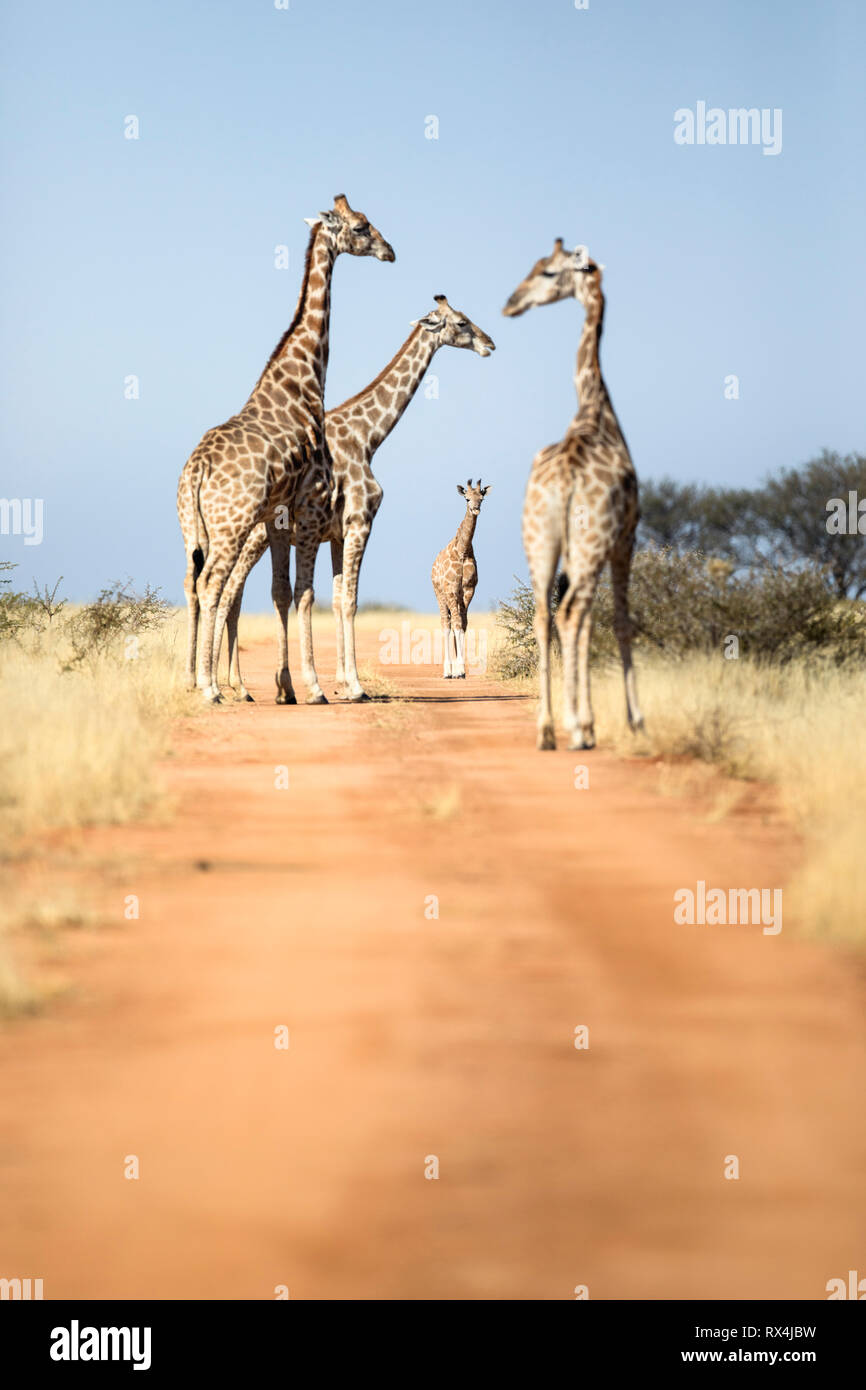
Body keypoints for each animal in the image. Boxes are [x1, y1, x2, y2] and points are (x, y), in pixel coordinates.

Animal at [177, 194, 395, 703]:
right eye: (361, 227)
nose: (390, 251)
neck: (304, 381)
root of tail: (196, 470)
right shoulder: (311, 504)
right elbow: (307, 594)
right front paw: (314, 688)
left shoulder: (280, 516)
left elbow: (282, 592)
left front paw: (289, 687)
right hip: (231, 524)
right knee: (213, 585)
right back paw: (210, 688)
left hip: (200, 529)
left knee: (199, 584)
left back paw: (201, 681)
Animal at [431, 479, 491, 679]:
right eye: (466, 498)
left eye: (481, 498)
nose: (476, 509)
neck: (463, 551)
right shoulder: (450, 589)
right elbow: (456, 624)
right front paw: (457, 670)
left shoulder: (468, 590)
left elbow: (463, 624)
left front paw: (462, 670)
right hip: (440, 594)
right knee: (446, 623)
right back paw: (447, 671)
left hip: (455, 596)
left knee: (455, 621)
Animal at [502, 239, 643, 750]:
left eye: (546, 272)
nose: (511, 303)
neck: (594, 408)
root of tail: (565, 483)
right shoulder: (625, 538)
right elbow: (618, 619)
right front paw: (631, 719)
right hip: (590, 542)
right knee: (571, 613)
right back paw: (577, 729)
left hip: (540, 541)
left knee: (546, 615)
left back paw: (547, 729)